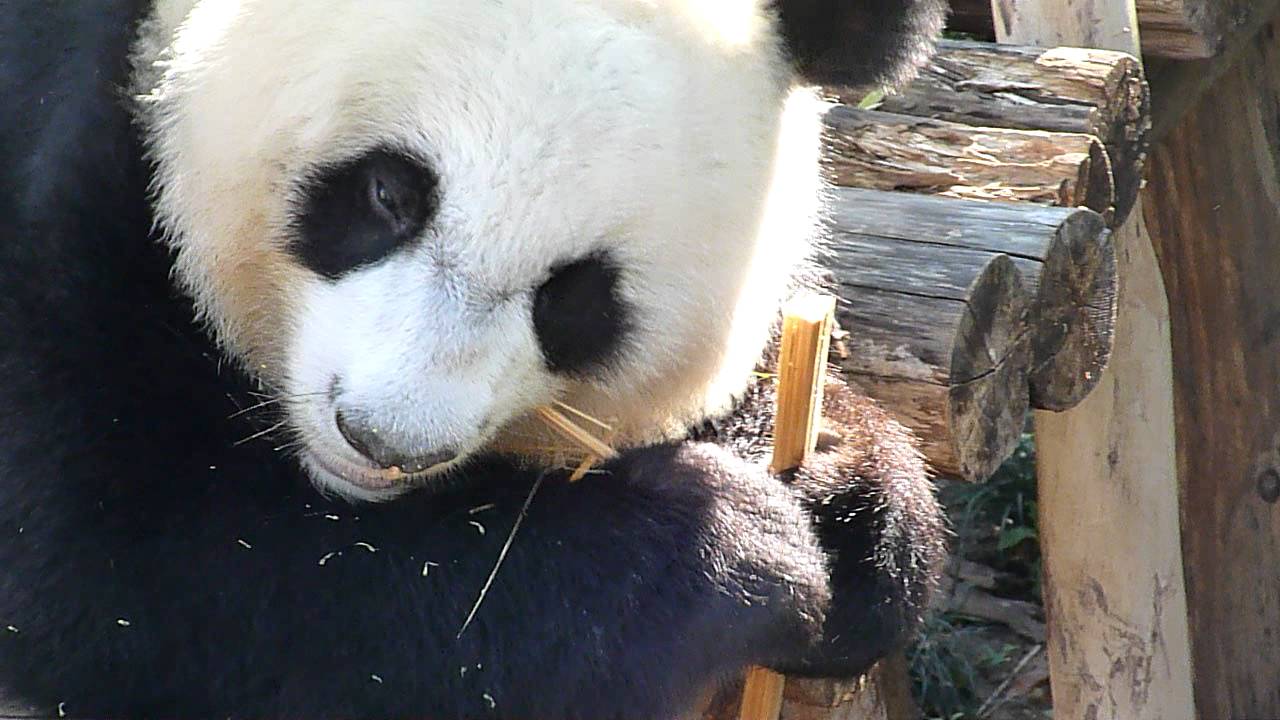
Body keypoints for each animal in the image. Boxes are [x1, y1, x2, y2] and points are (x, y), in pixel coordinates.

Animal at [0, 1, 946, 718]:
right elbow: (122, 563)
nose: (385, 442)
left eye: (577, 295)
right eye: (389, 191)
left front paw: (846, 500)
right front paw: (725, 546)